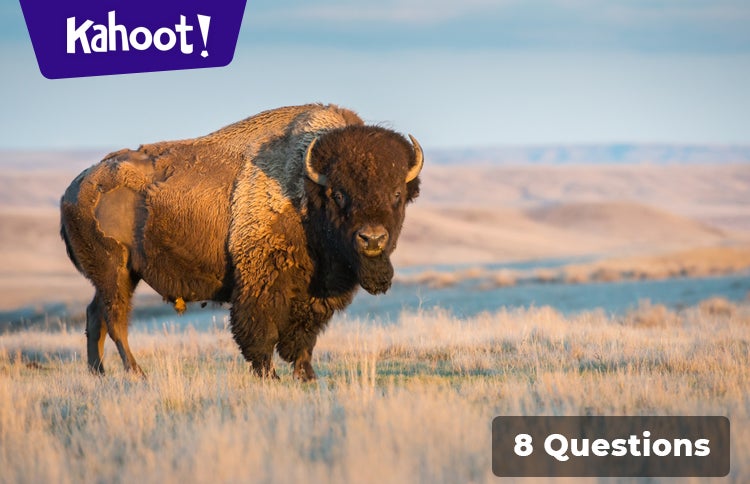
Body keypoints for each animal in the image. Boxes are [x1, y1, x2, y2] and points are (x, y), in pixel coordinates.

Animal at [60, 104, 423, 380]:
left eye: (396, 194)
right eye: (338, 194)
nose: (372, 238)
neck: (306, 189)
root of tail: (75, 188)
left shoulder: (314, 294)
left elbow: (304, 336)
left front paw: (307, 376)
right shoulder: (260, 281)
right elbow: (260, 330)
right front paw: (270, 376)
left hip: (119, 276)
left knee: (95, 315)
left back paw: (99, 373)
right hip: (115, 271)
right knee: (115, 319)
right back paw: (136, 373)